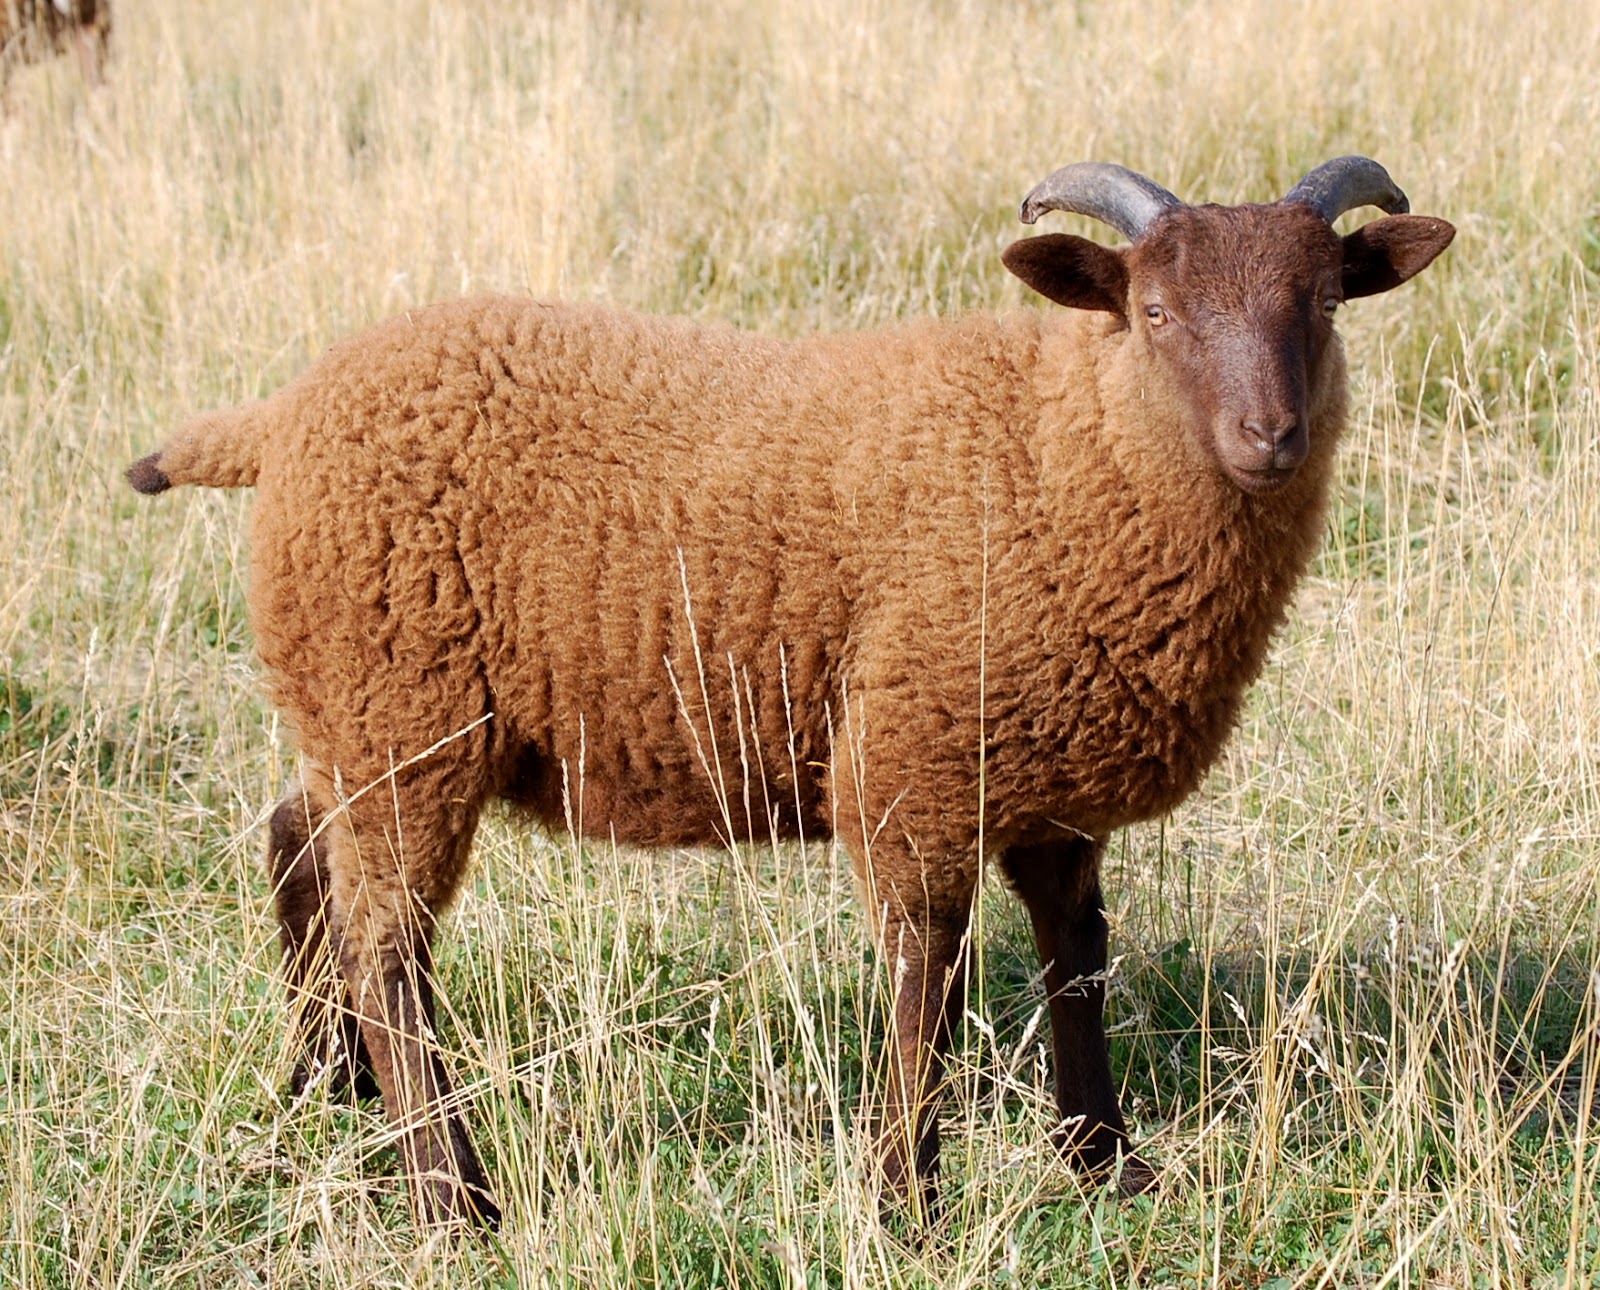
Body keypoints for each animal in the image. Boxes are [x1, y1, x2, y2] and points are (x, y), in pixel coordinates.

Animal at [127, 156, 1454, 1229]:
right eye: (1156, 312)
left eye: (1324, 303)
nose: (1268, 439)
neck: (1055, 449)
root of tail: (284, 417)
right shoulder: (918, 755)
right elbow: (929, 974)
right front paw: (905, 1199)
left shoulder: (1047, 771)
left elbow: (1074, 951)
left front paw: (1104, 1163)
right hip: (406, 715)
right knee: (387, 944)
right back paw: (454, 1196)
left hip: (354, 712)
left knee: (298, 852)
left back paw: (327, 1085)